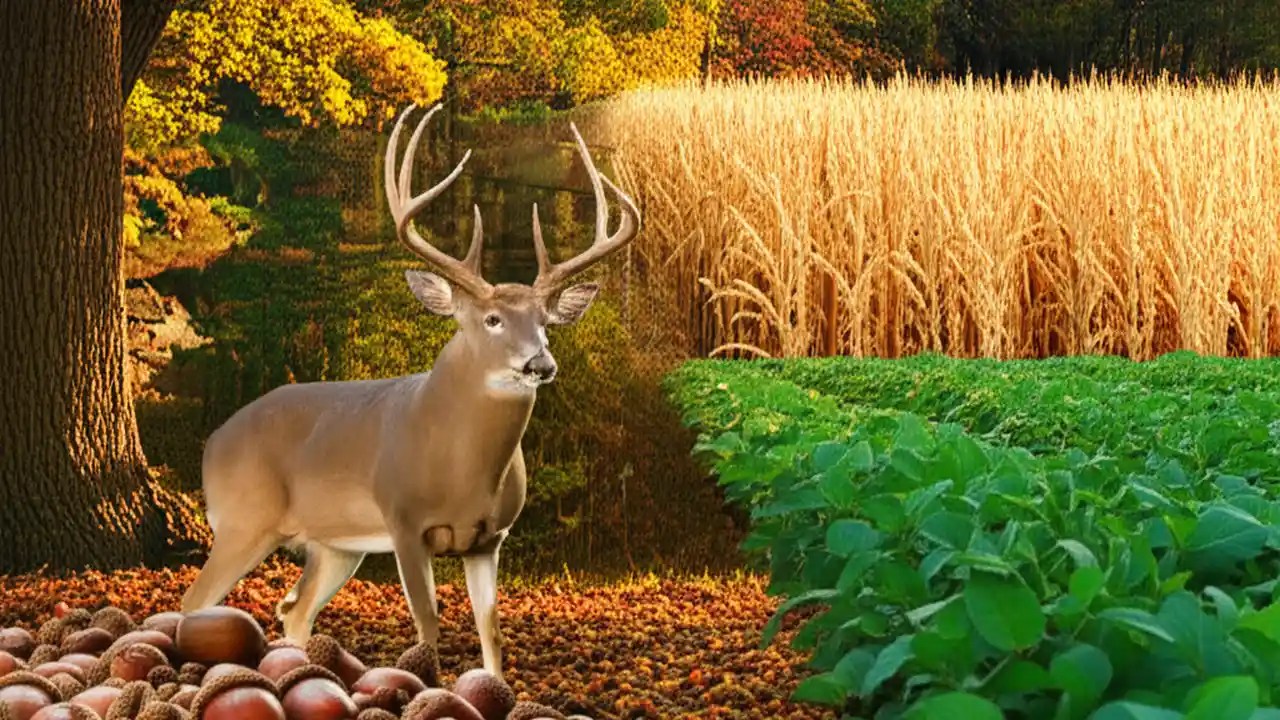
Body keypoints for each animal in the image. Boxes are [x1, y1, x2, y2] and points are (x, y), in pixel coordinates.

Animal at [179, 102, 640, 680]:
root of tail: (211, 442)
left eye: (546, 323)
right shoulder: (403, 521)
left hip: (333, 544)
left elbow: (491, 632)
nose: (540, 364)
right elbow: (427, 625)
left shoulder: (489, 540)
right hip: (244, 520)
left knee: (295, 609)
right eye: (491, 318)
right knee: (194, 600)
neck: (466, 473)